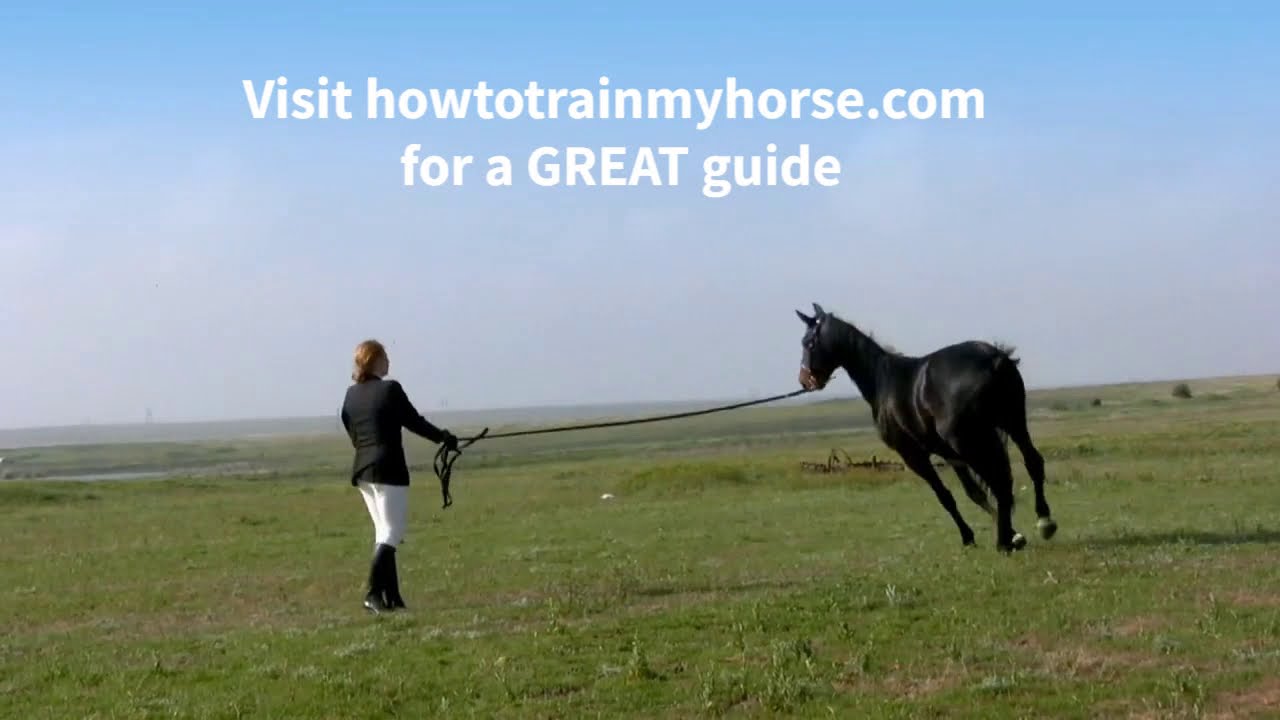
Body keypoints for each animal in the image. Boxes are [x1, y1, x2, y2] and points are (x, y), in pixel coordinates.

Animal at [794, 303, 1057, 553]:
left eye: (808, 342)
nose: (805, 380)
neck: (883, 380)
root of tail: (992, 359)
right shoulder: (950, 455)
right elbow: (974, 492)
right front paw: (1014, 534)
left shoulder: (914, 456)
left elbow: (945, 496)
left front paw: (972, 537)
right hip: (1013, 424)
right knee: (1031, 464)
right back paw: (1043, 521)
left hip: (970, 441)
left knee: (1000, 480)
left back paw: (1003, 543)